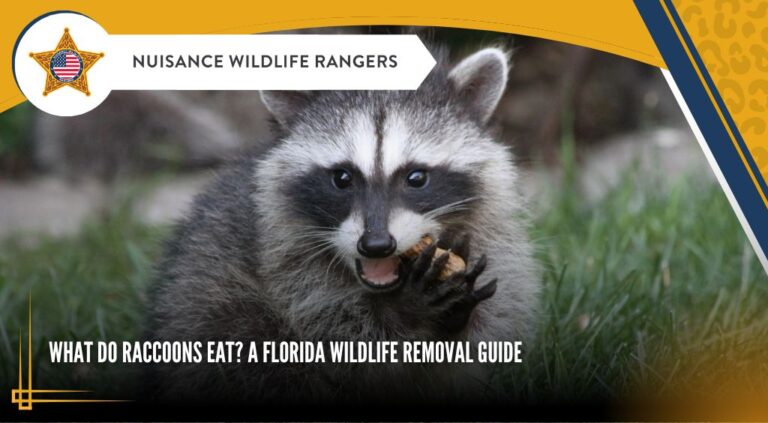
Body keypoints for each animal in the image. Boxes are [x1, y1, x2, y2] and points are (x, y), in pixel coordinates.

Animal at [146, 46, 540, 405]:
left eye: (416, 177)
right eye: (342, 178)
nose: (377, 245)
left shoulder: (492, 238)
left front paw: (456, 311)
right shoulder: (282, 268)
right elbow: (342, 343)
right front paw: (407, 311)